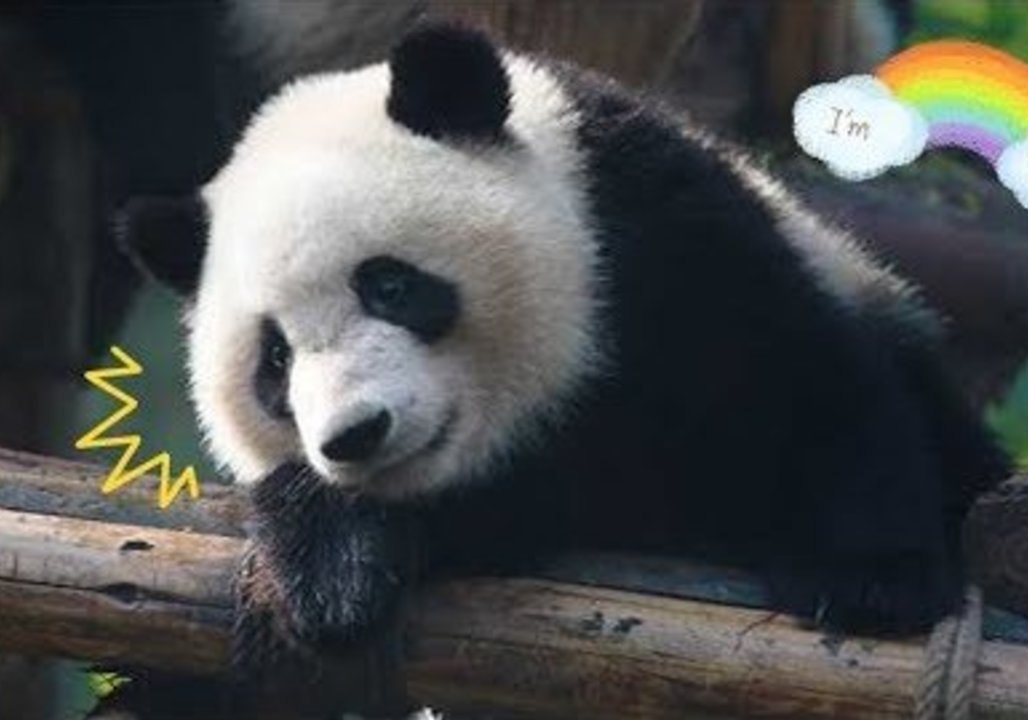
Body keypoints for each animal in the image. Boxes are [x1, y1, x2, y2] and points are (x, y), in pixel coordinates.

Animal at [120, 21, 1009, 674]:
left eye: (390, 286)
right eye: (275, 361)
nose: (355, 435)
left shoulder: (659, 232)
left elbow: (800, 384)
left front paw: (870, 579)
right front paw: (336, 576)